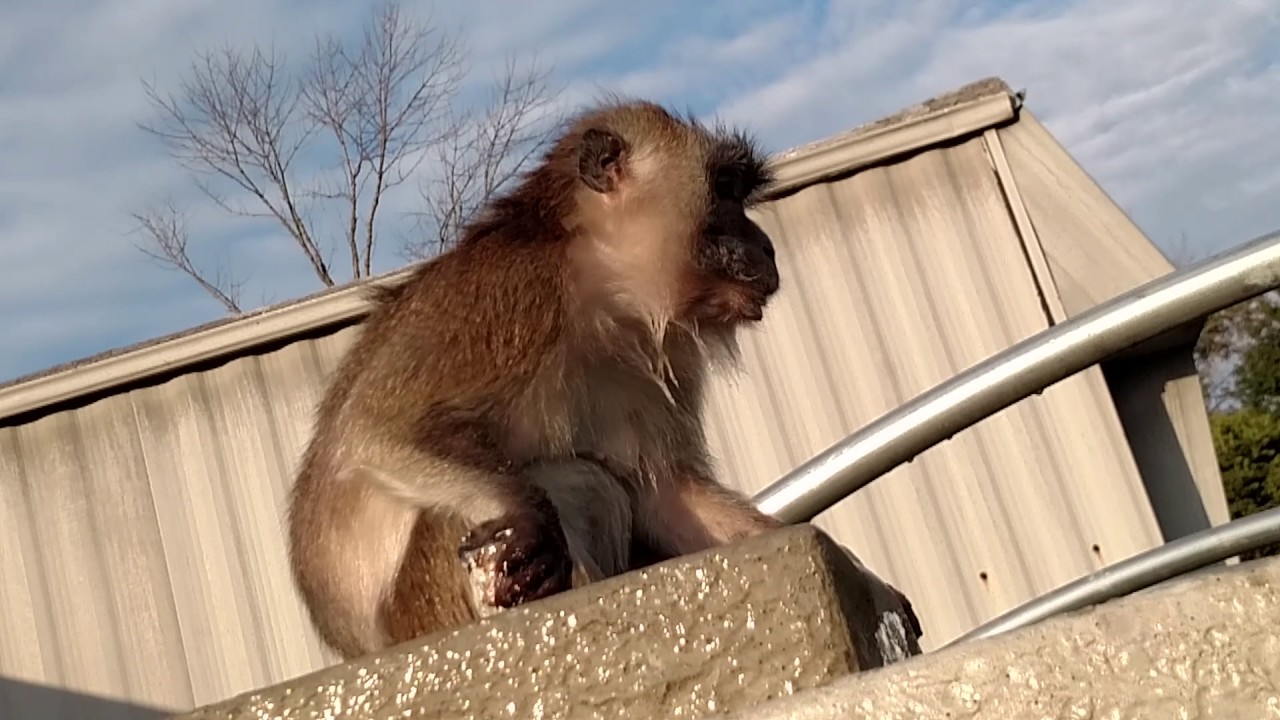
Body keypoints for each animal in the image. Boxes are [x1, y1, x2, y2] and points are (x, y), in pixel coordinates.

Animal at [286, 98, 788, 661]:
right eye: (724, 188)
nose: (766, 246)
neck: (598, 289)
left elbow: (663, 494)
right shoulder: (517, 289)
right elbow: (369, 431)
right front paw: (525, 510)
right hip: (429, 609)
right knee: (574, 484)